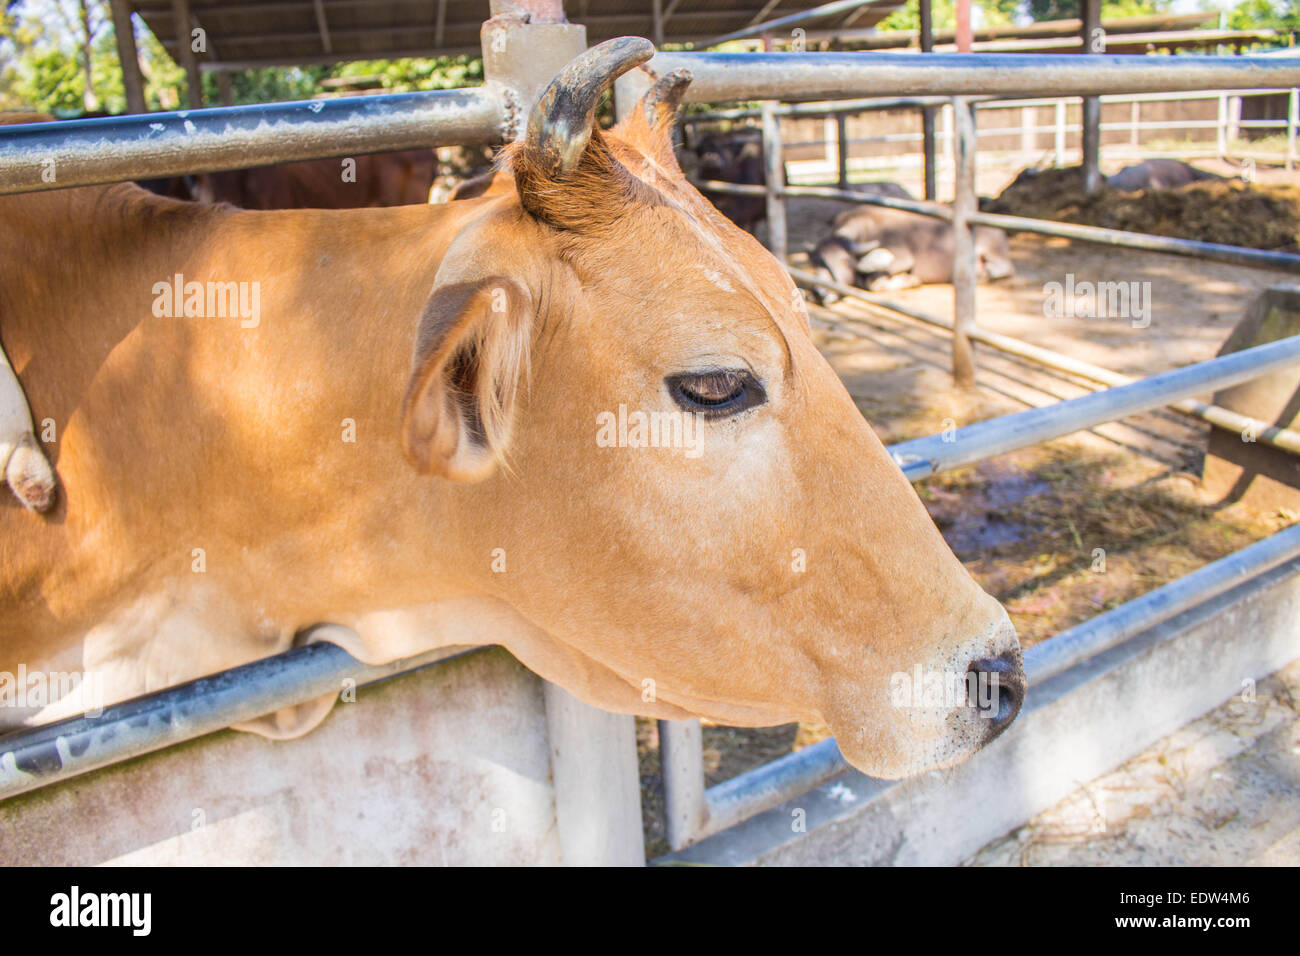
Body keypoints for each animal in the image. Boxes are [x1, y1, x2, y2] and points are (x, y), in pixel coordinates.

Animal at [810, 203, 1014, 302]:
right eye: (815, 263)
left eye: (844, 261)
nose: (819, 292)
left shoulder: (902, 257)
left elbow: (873, 280)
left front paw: (911, 280)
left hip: (994, 252)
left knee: (1004, 269)